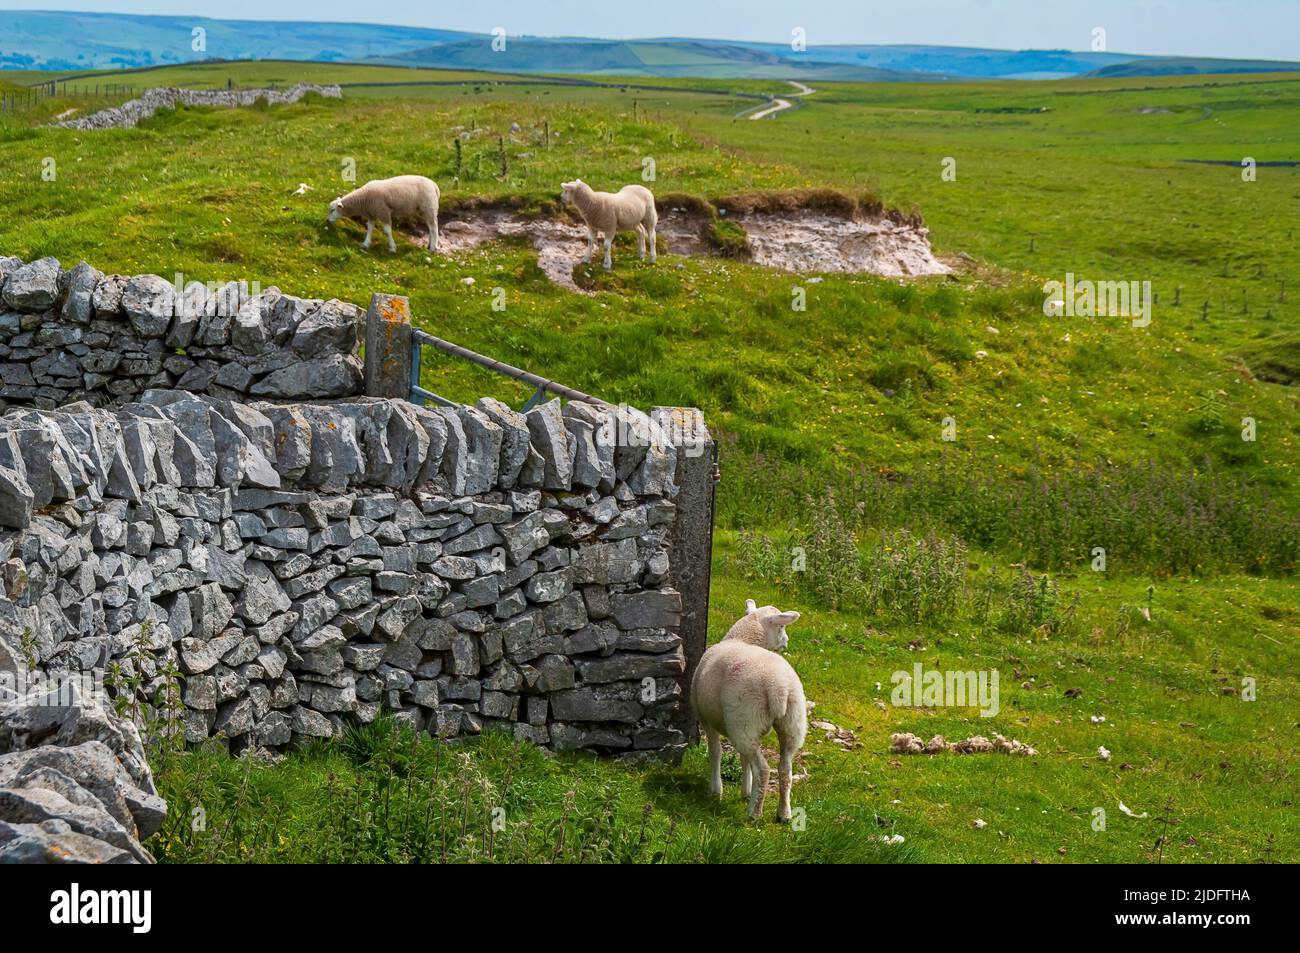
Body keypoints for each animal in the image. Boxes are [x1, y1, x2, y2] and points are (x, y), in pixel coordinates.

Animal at [690, 599, 807, 821]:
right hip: (790, 722)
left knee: (763, 769)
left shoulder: (706, 718)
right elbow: (743, 760)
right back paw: (784, 814)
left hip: (745, 719)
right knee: (785, 769)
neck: (742, 638)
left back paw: (754, 813)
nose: (786, 641)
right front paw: (745, 791)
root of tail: (779, 687)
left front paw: (716, 791)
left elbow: (715, 752)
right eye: (781, 626)